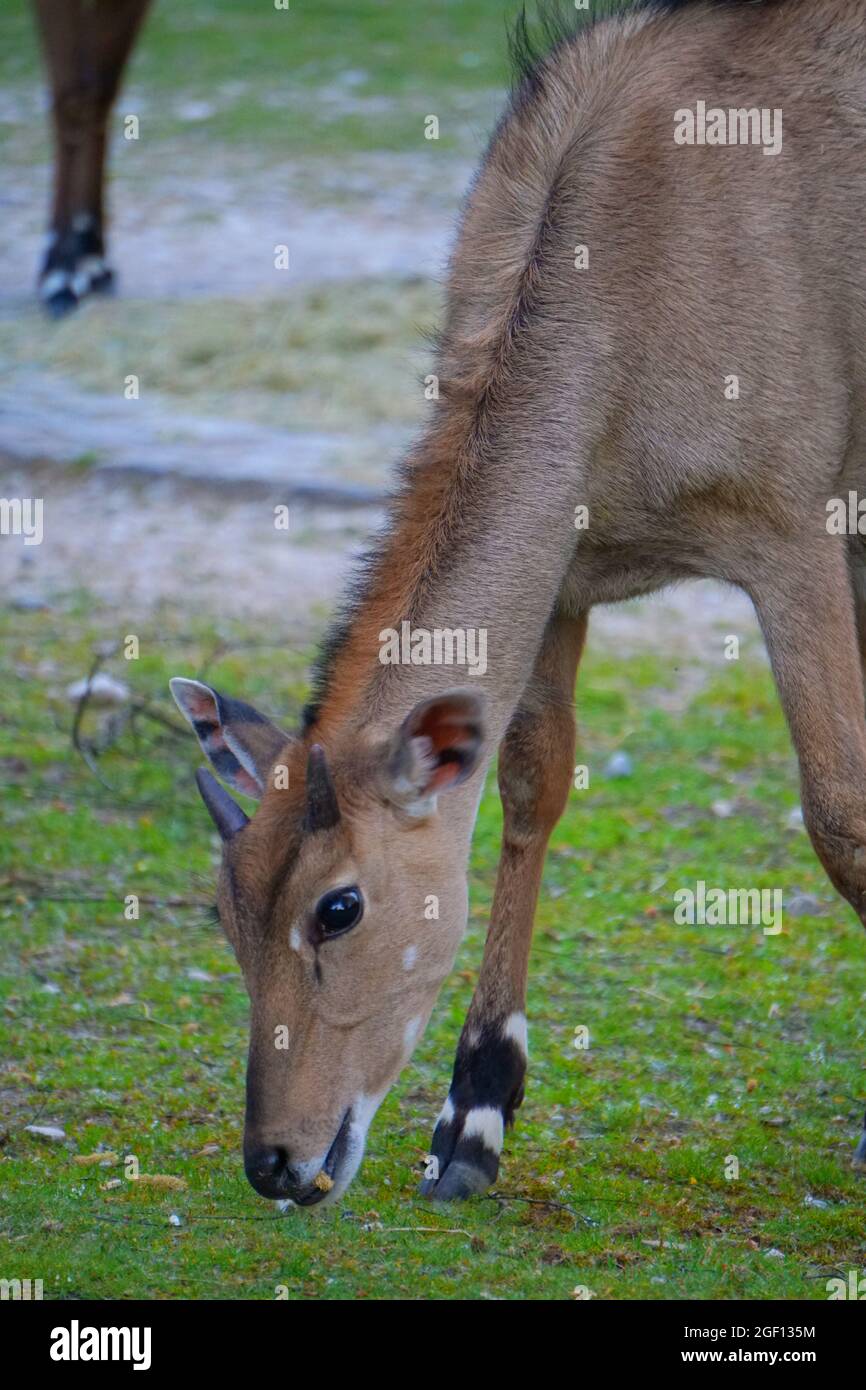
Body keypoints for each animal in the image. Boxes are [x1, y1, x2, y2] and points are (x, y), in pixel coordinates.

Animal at [171, 0, 866, 1208]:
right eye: (226, 905)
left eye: (338, 905)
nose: (276, 1160)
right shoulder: (564, 572)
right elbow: (531, 785)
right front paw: (470, 1123)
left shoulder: (791, 525)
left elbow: (839, 812)